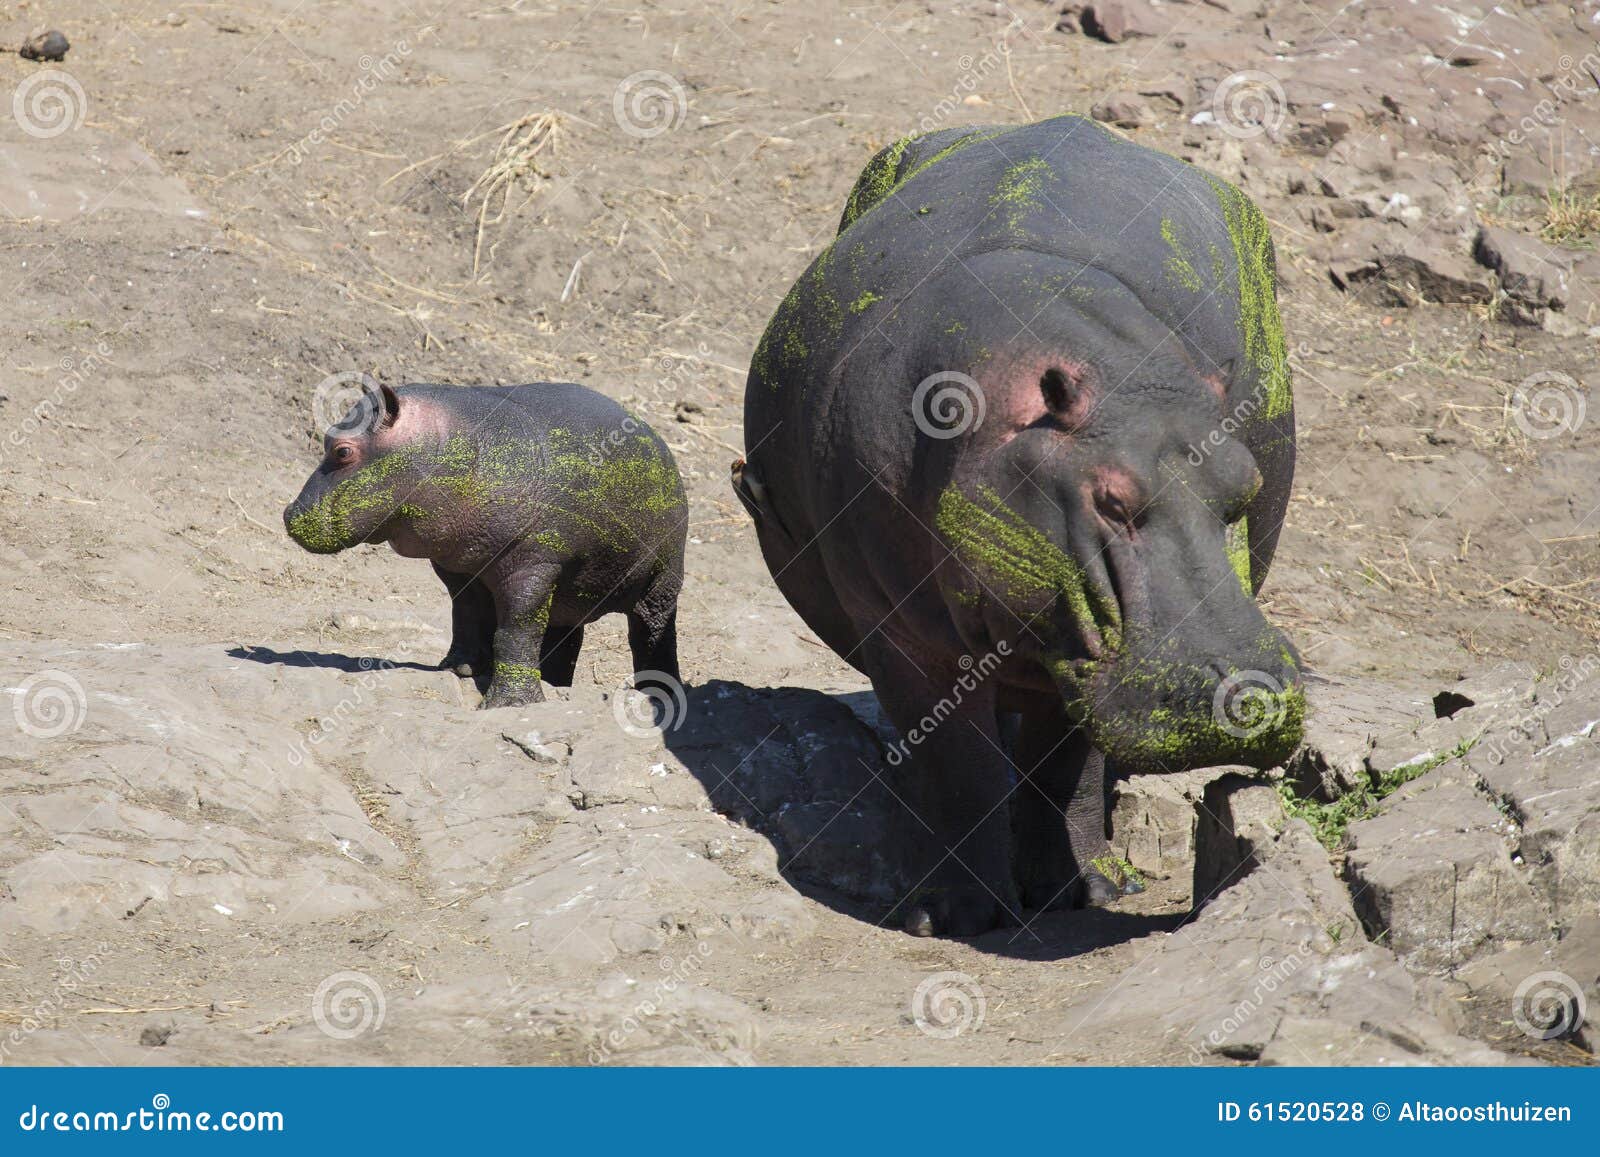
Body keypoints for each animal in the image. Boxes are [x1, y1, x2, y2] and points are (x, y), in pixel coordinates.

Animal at [285, 381, 686, 709]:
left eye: (342, 451)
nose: (289, 513)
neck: (450, 440)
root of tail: (659, 440)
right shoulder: (456, 566)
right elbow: (464, 613)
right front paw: (457, 668)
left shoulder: (532, 564)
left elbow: (516, 630)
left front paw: (508, 705)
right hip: (569, 597)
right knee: (563, 638)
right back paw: (556, 685)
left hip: (663, 580)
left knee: (653, 633)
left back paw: (659, 693)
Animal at [735, 116, 1304, 936]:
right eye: (1112, 500)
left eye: (1243, 486)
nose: (1256, 692)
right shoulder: (903, 631)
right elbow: (957, 770)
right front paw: (956, 915)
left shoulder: (1069, 642)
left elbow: (1063, 768)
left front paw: (1084, 890)